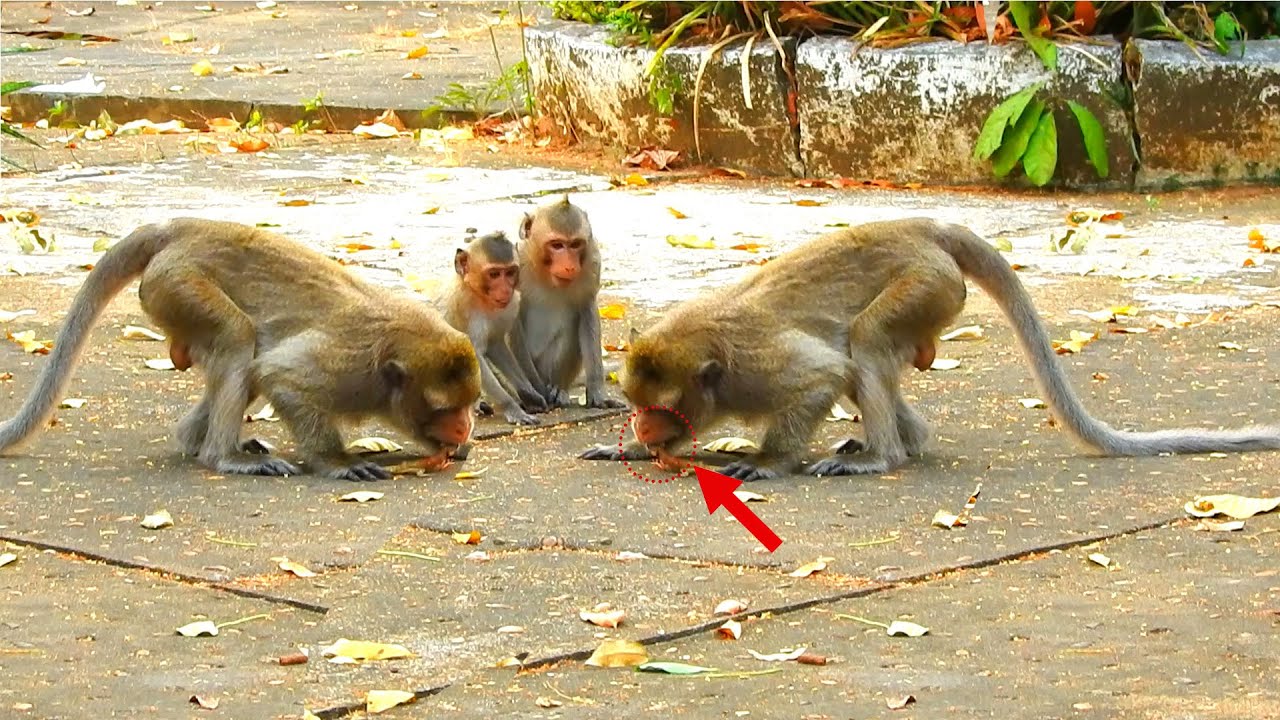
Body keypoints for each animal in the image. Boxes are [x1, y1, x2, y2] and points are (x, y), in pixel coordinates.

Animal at [0, 218, 481, 481]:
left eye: (470, 405)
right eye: (444, 407)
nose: (463, 428)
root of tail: (179, 227)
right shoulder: (349, 367)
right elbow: (280, 374)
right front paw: (337, 461)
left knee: (244, 355)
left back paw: (194, 441)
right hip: (177, 284)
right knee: (238, 340)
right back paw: (221, 456)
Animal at [440, 231, 549, 425]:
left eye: (510, 272)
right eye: (494, 274)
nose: (506, 290)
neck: (477, 295)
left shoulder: (508, 306)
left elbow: (495, 344)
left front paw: (529, 393)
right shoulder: (461, 308)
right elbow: (471, 357)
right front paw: (512, 407)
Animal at [510, 195, 625, 411]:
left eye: (575, 244)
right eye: (557, 245)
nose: (569, 266)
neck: (544, 273)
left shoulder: (592, 262)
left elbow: (587, 310)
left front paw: (598, 393)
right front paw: (533, 395)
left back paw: (558, 390)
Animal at [581, 217, 1280, 481]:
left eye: (661, 409)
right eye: (636, 405)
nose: (642, 428)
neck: (717, 368)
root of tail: (924, 226)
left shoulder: (757, 369)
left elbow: (822, 375)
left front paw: (771, 463)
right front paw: (626, 452)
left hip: (925, 285)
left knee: (862, 345)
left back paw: (885, 456)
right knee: (866, 357)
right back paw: (904, 442)